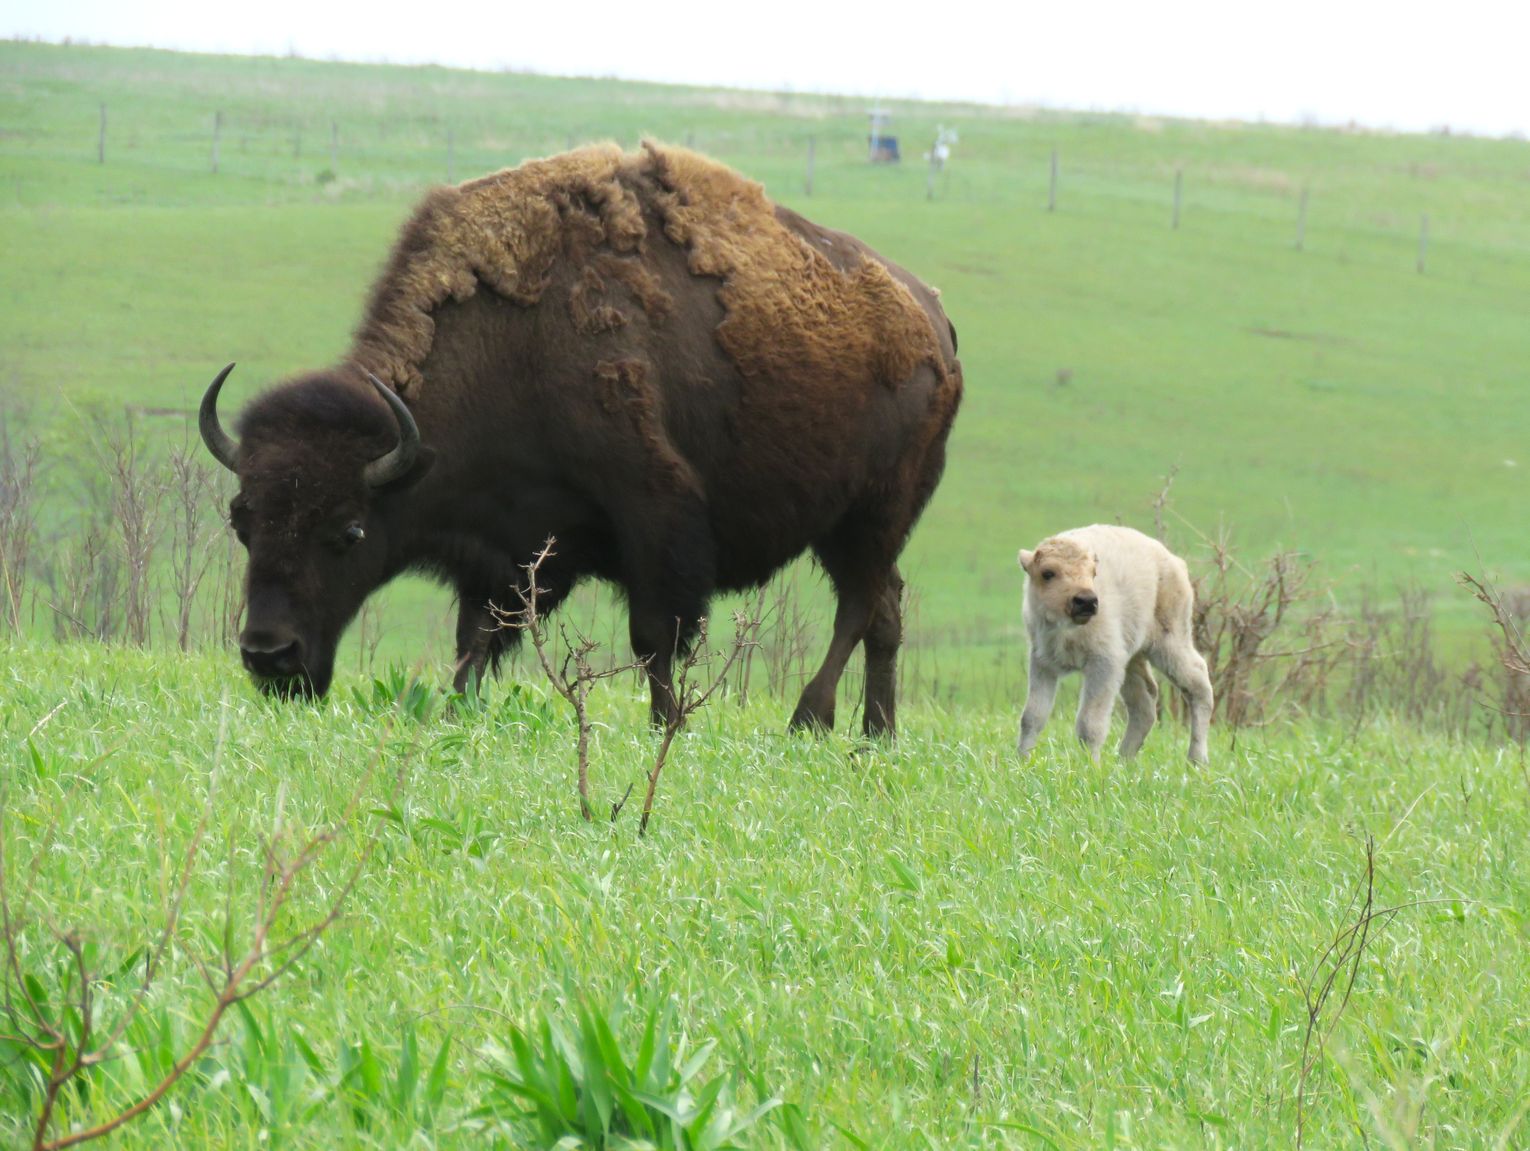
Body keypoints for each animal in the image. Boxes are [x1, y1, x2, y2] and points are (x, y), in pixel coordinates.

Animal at [198, 141, 962, 737]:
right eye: (242, 521)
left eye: (350, 531)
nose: (269, 655)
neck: (514, 345)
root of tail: (932, 319)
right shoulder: (507, 548)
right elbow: (477, 636)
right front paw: (454, 711)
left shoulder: (655, 515)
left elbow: (656, 636)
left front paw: (664, 725)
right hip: (847, 526)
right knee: (885, 609)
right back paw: (877, 732)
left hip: (872, 512)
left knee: (860, 604)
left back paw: (811, 719)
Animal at [1015, 525, 1213, 762]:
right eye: (1047, 573)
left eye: (1093, 572)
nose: (1086, 601)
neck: (1068, 630)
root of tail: (1173, 561)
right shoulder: (1042, 662)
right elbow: (1033, 716)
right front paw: (1022, 761)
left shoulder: (1105, 663)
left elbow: (1090, 723)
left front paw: (1090, 766)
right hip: (1132, 657)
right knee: (1145, 701)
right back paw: (1124, 760)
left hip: (1170, 641)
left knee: (1198, 683)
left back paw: (1197, 759)